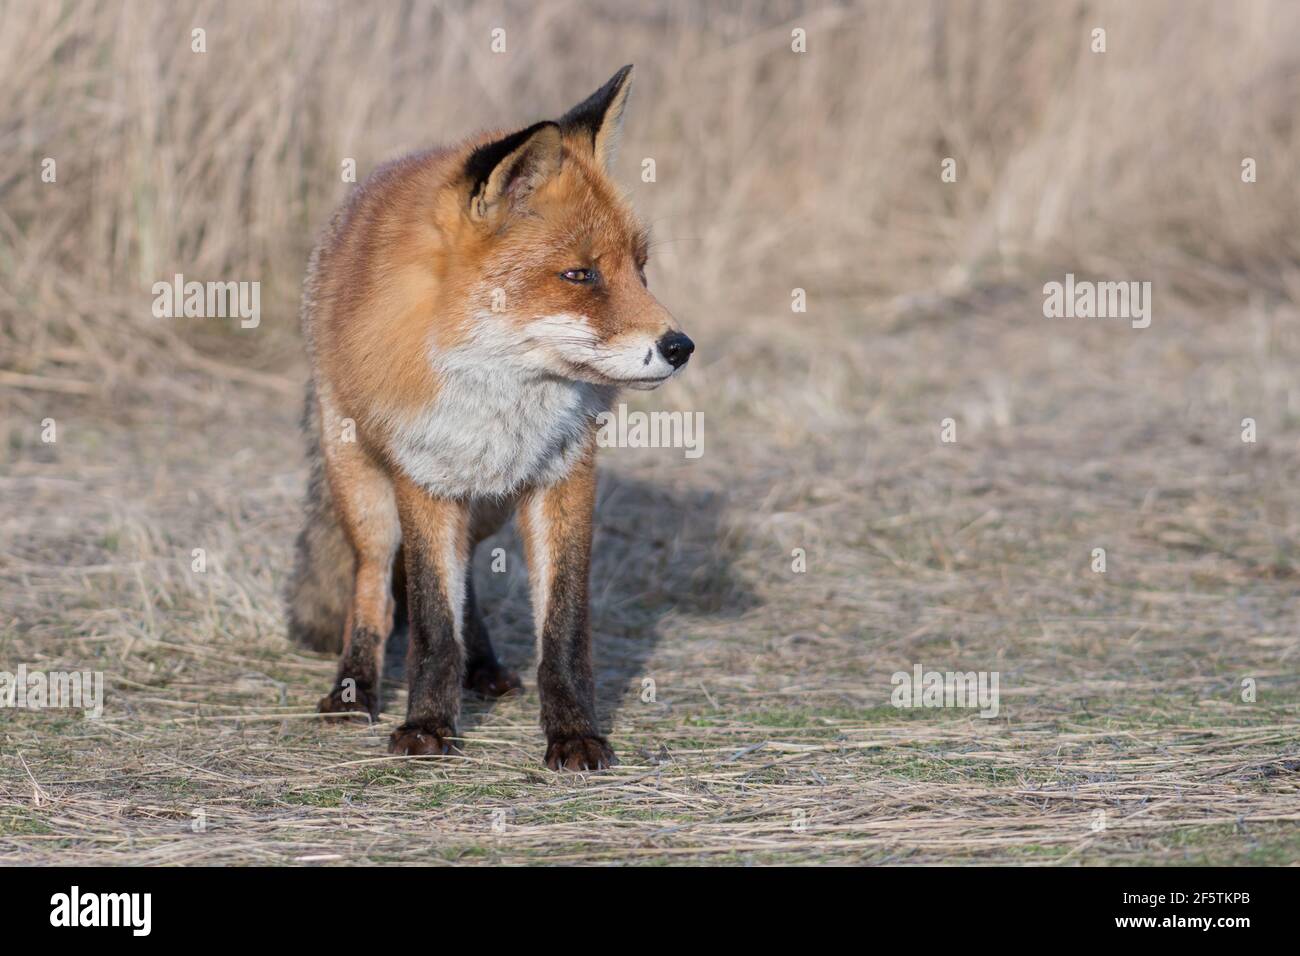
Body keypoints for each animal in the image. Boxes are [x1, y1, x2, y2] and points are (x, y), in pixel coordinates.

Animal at [285, 66, 693, 771]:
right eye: (579, 275)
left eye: (639, 270)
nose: (680, 346)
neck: (501, 396)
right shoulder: (423, 480)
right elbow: (430, 622)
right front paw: (426, 726)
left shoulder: (565, 477)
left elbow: (562, 629)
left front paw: (574, 734)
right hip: (364, 490)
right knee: (373, 586)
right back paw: (354, 689)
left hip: (490, 506)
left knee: (469, 582)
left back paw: (484, 670)